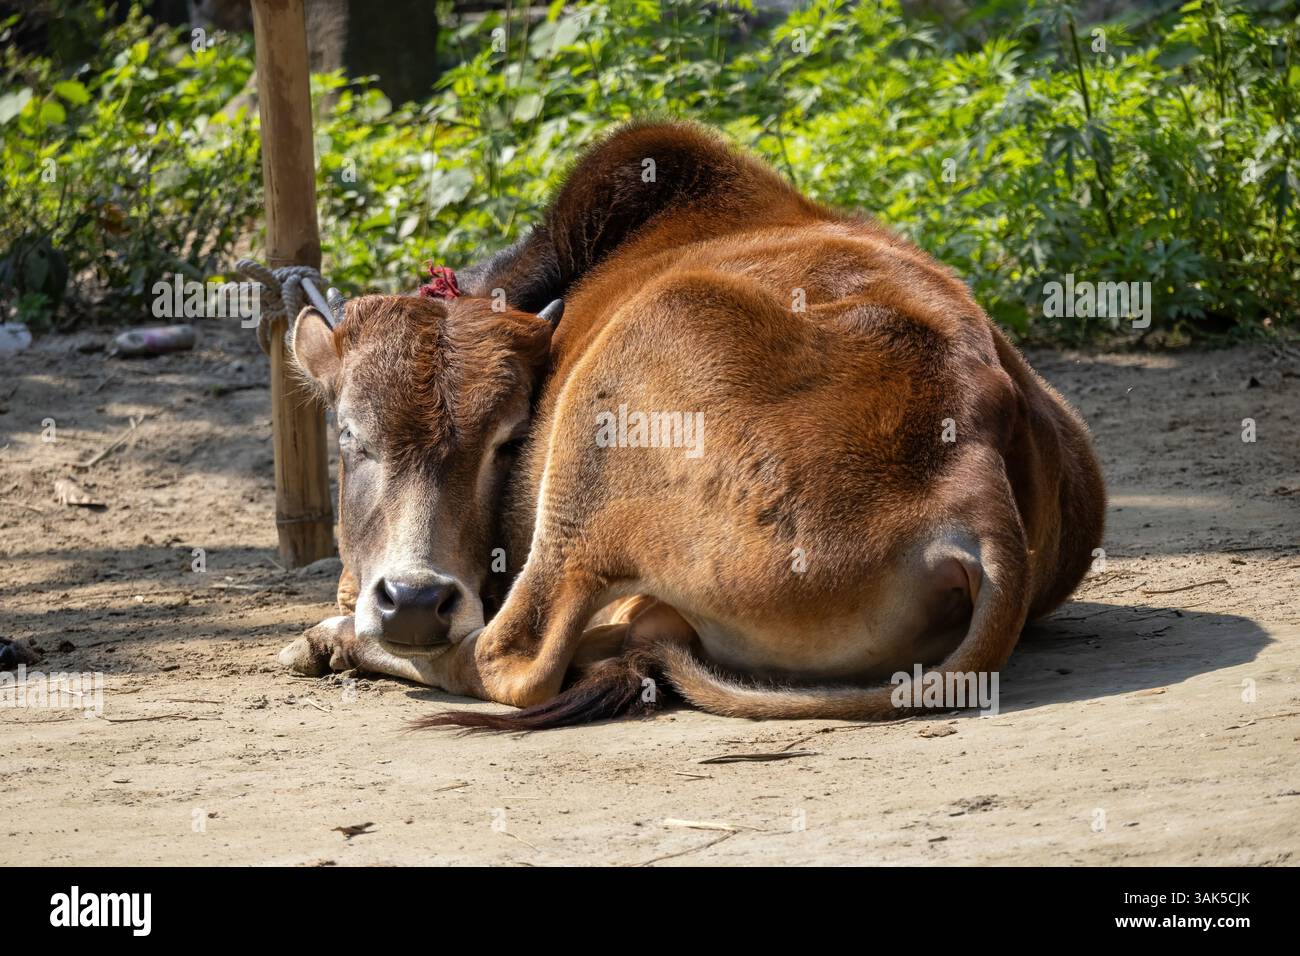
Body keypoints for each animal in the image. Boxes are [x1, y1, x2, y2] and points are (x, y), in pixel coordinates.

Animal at [277, 120, 1106, 729]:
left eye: (506, 443)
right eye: (349, 436)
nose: (415, 601)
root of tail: (972, 471)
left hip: (606, 416)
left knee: (513, 660)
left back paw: (339, 641)